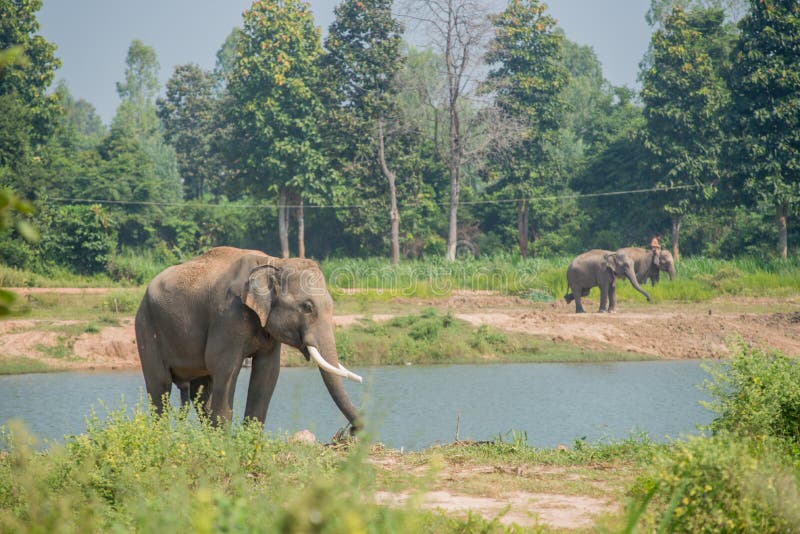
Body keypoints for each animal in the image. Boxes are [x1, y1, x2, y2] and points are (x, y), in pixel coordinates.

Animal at [134, 246, 363, 429]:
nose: (352, 431)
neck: (274, 262)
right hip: (145, 325)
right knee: (160, 385)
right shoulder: (228, 315)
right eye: (307, 307)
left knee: (200, 389)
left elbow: (268, 372)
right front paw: (226, 446)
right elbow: (225, 368)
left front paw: (249, 440)